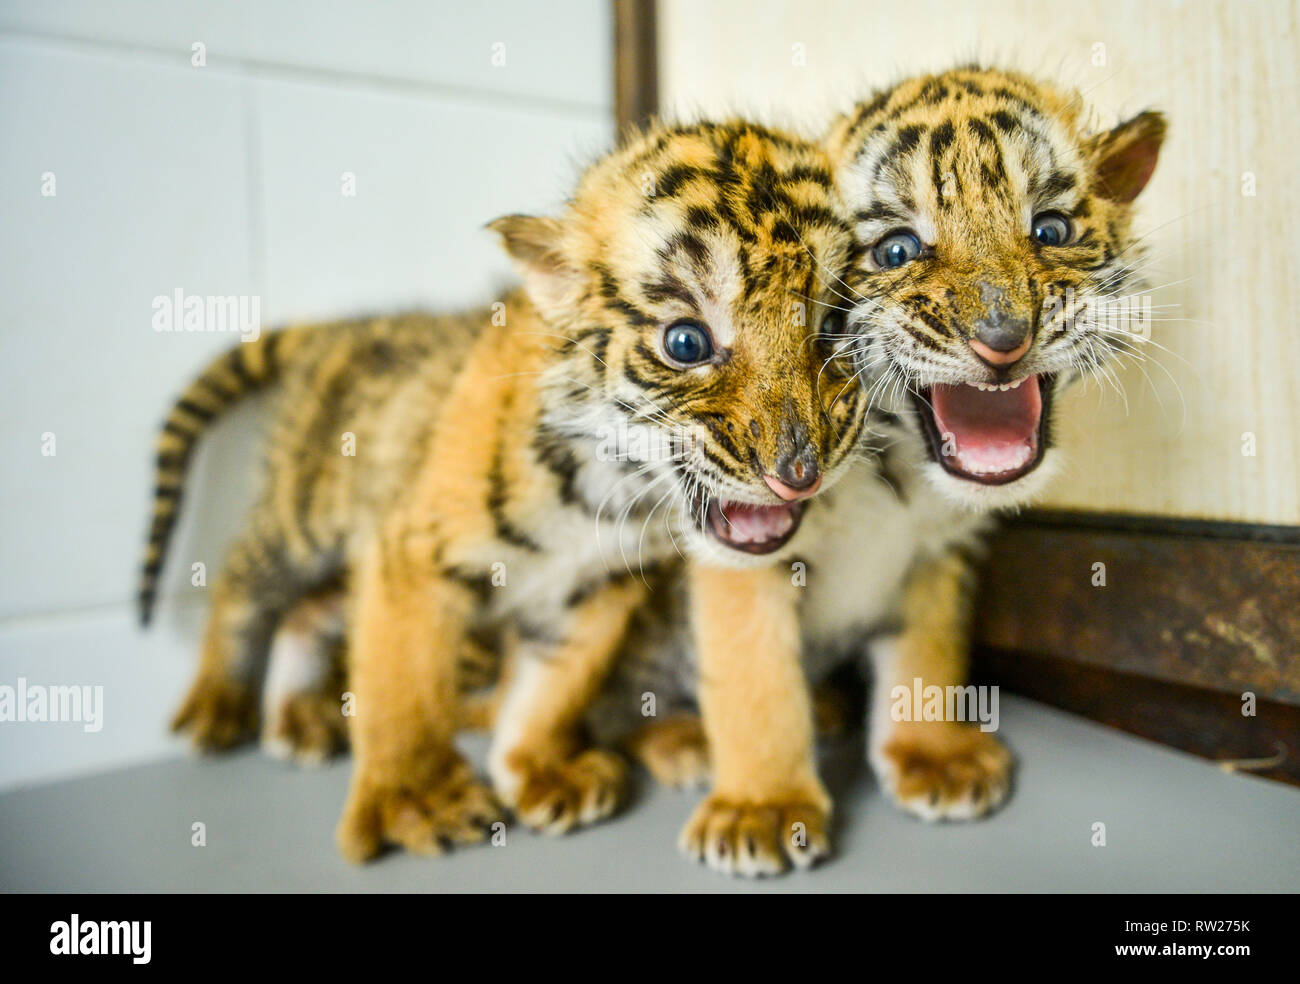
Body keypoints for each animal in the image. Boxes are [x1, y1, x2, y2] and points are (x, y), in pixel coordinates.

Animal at [138, 119, 872, 862]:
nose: (799, 471)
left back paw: (296, 722)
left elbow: (548, 693)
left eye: (834, 328)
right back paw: (216, 707)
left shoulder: (593, 592)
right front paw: (419, 799)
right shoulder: (412, 553)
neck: (611, 491)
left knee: (305, 610)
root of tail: (345, 326)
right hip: (302, 514)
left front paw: (541, 770)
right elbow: (404, 686)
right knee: (241, 582)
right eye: (687, 342)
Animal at [575, 65, 1168, 876]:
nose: (1003, 338)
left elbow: (928, 657)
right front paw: (762, 808)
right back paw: (684, 744)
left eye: (1049, 231)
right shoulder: (746, 537)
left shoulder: (937, 551)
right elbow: (753, 675)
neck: (897, 476)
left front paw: (936, 757)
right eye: (897, 250)